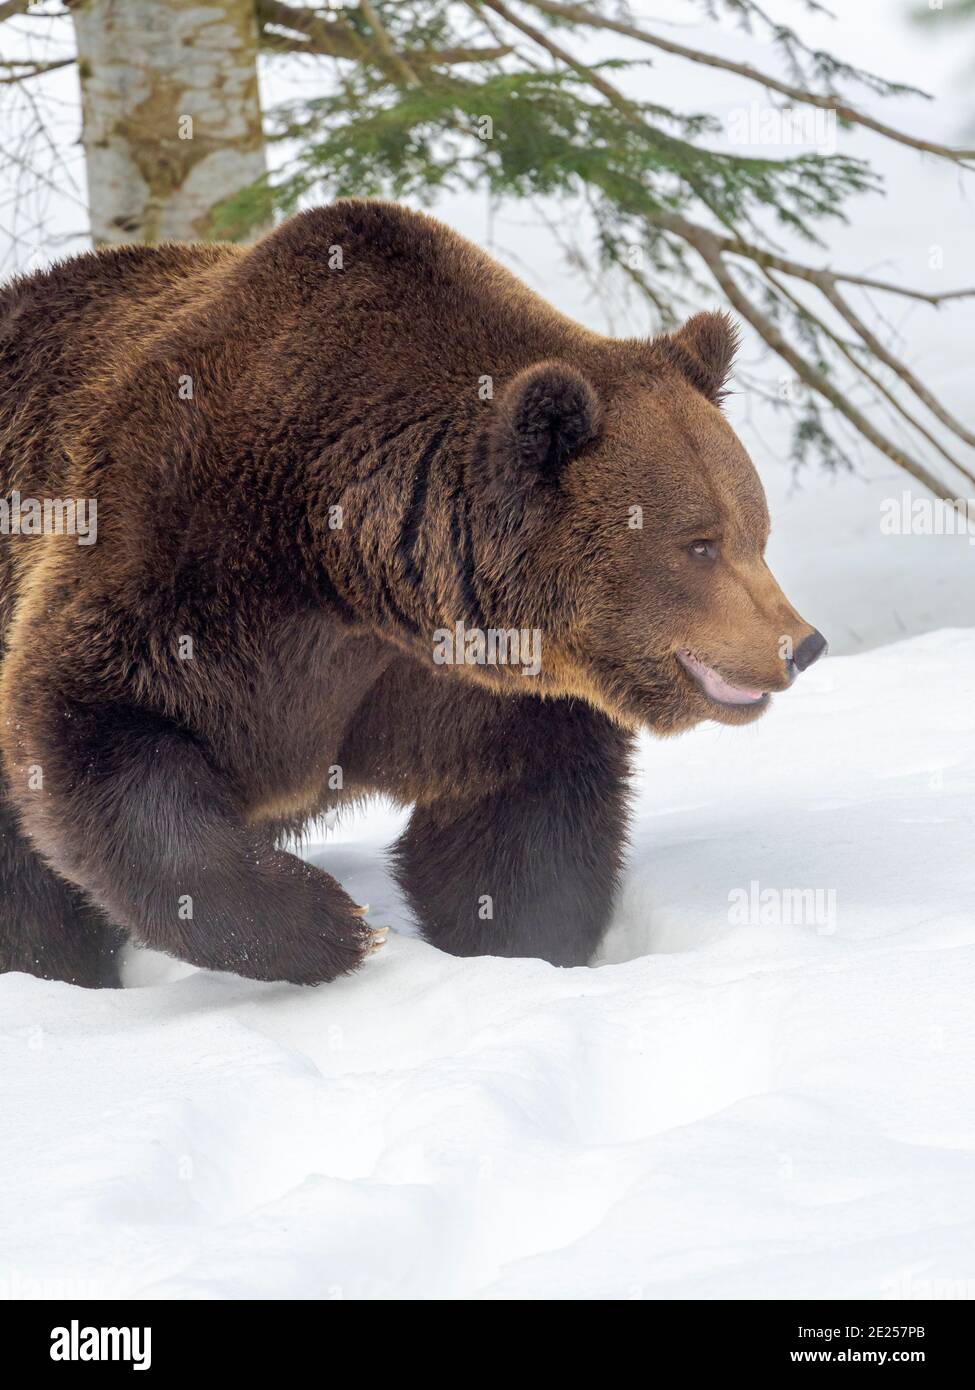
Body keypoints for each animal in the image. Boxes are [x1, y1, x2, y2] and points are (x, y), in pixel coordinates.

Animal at [0, 199, 826, 989]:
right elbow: (94, 729)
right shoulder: (183, 553)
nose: (799, 643)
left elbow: (517, 825)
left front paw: (521, 948)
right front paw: (333, 927)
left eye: (756, 530)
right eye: (699, 543)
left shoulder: (458, 685)